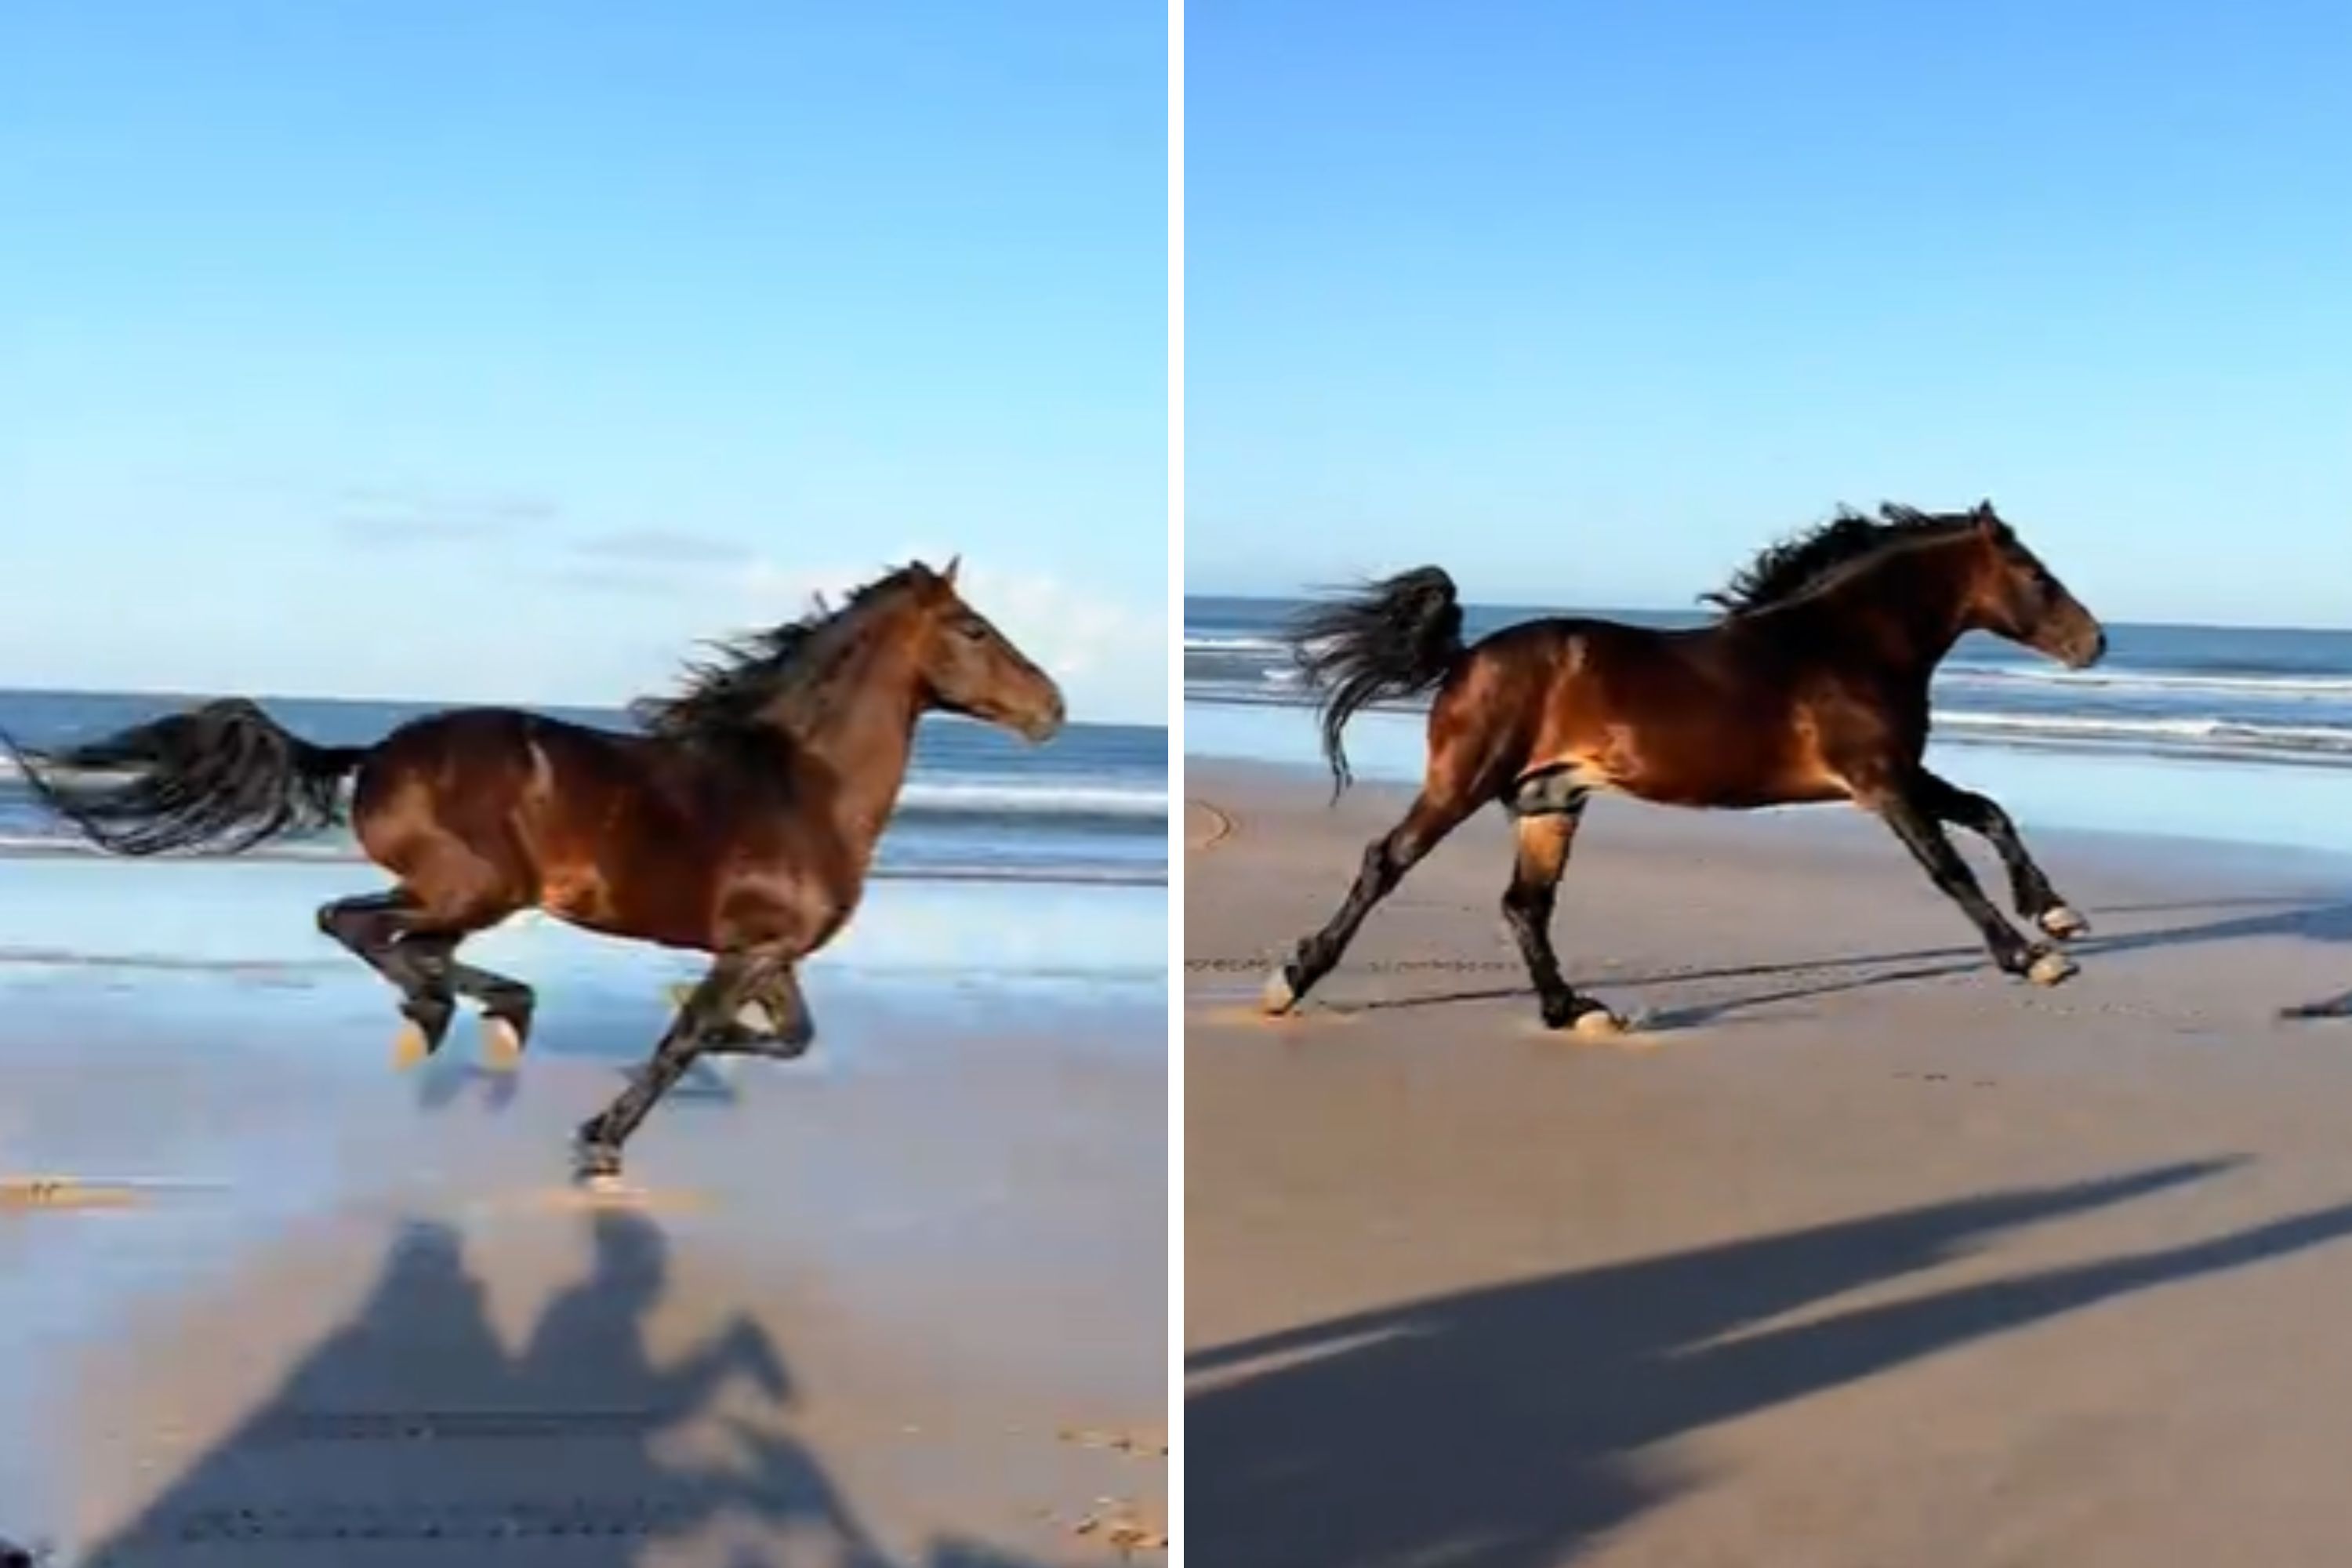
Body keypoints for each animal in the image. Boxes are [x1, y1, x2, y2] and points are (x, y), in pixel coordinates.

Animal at [3, 558, 1065, 1181]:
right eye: (974, 628)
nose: (1053, 706)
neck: (797, 783)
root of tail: (373, 754)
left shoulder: (774, 954)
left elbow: (781, 1038)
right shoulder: (752, 948)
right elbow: (687, 1039)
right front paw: (600, 1138)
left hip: (462, 895)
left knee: (382, 931)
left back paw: (470, 1005)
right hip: (477, 888)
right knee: (356, 924)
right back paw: (464, 1008)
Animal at [1261, 501, 2107, 1034]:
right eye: (2036, 574)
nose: (2095, 642)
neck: (1847, 645)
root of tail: (1466, 656)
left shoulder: (1901, 773)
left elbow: (1991, 810)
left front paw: (2057, 913)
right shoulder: (1880, 781)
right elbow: (1947, 866)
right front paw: (2033, 957)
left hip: (1550, 800)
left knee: (1525, 904)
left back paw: (1576, 1011)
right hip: (1464, 784)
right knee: (1388, 861)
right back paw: (1287, 983)